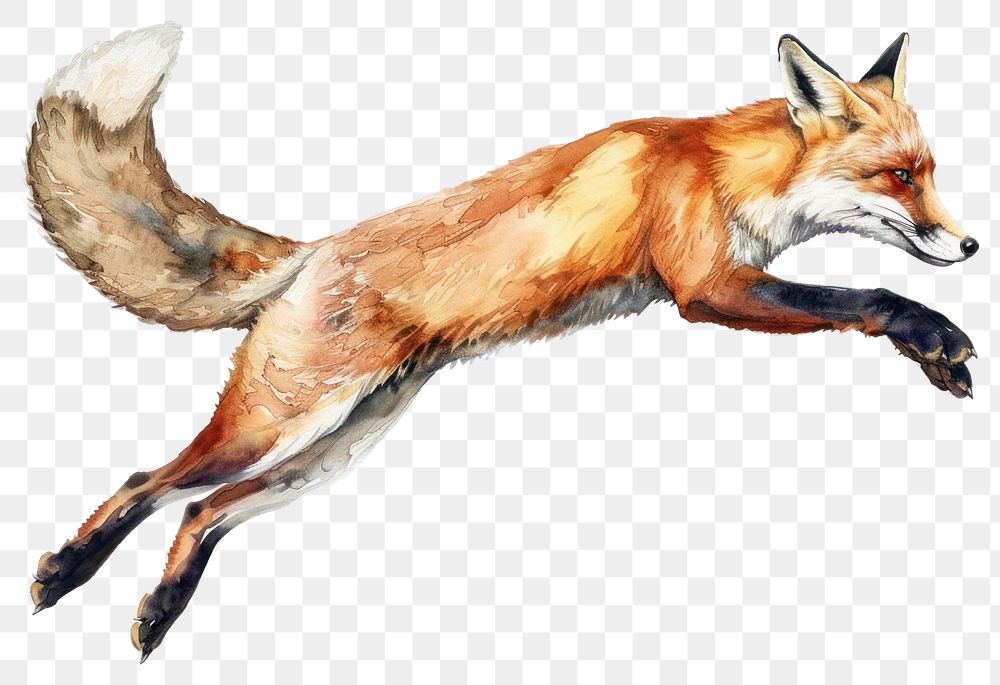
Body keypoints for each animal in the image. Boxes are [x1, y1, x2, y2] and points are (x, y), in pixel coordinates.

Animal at [27, 24, 978, 660]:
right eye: (899, 176)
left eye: (930, 171)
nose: (971, 245)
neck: (723, 168)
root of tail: (312, 252)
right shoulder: (706, 288)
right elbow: (864, 295)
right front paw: (935, 336)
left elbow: (852, 296)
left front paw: (937, 352)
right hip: (279, 421)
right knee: (148, 480)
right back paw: (67, 569)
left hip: (336, 446)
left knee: (200, 509)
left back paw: (158, 608)